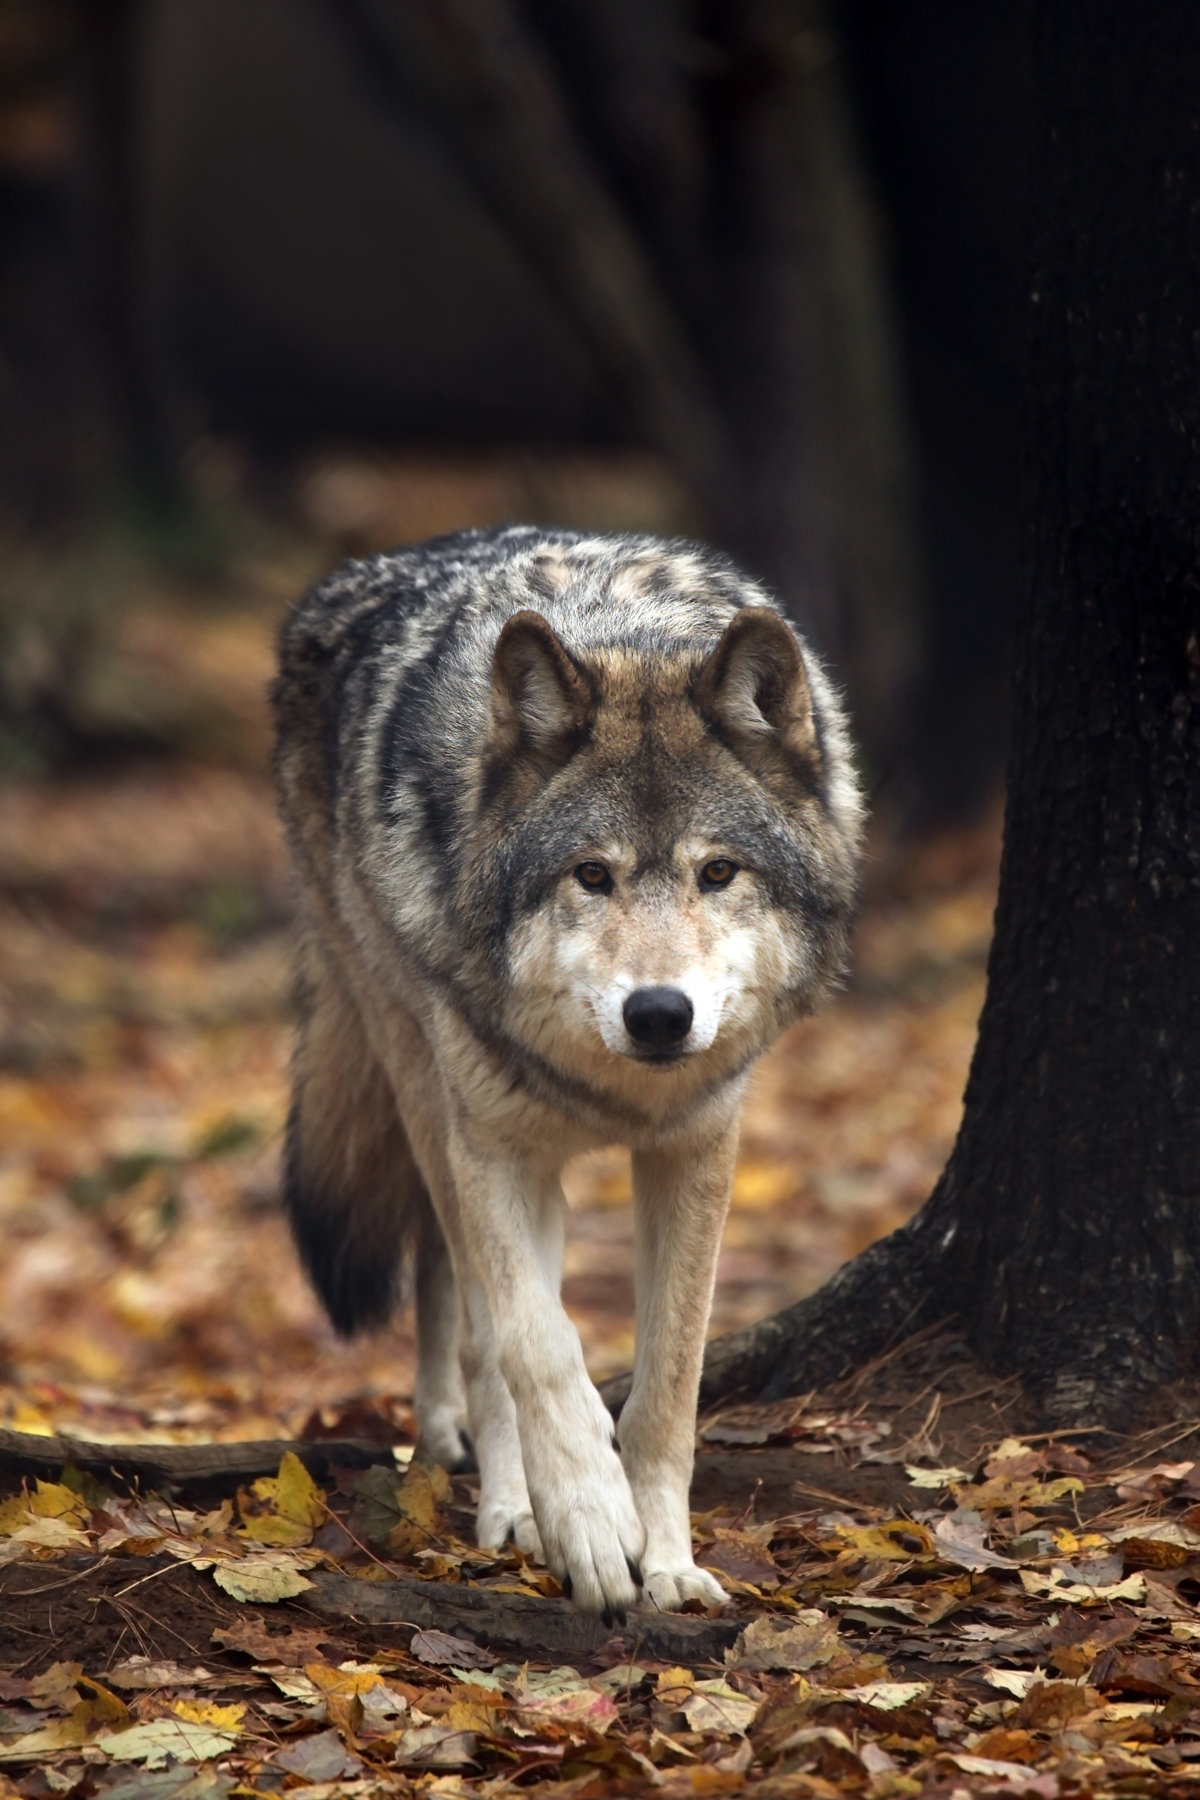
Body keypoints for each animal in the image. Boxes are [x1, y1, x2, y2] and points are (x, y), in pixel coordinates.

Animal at [273, 525, 862, 1621]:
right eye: (592, 874)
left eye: (718, 872)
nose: (660, 1013)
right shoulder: (492, 1147)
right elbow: (537, 1345)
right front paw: (586, 1519)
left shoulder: (695, 1151)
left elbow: (668, 1384)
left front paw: (667, 1562)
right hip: (417, 1072)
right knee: (475, 1316)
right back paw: (508, 1504)